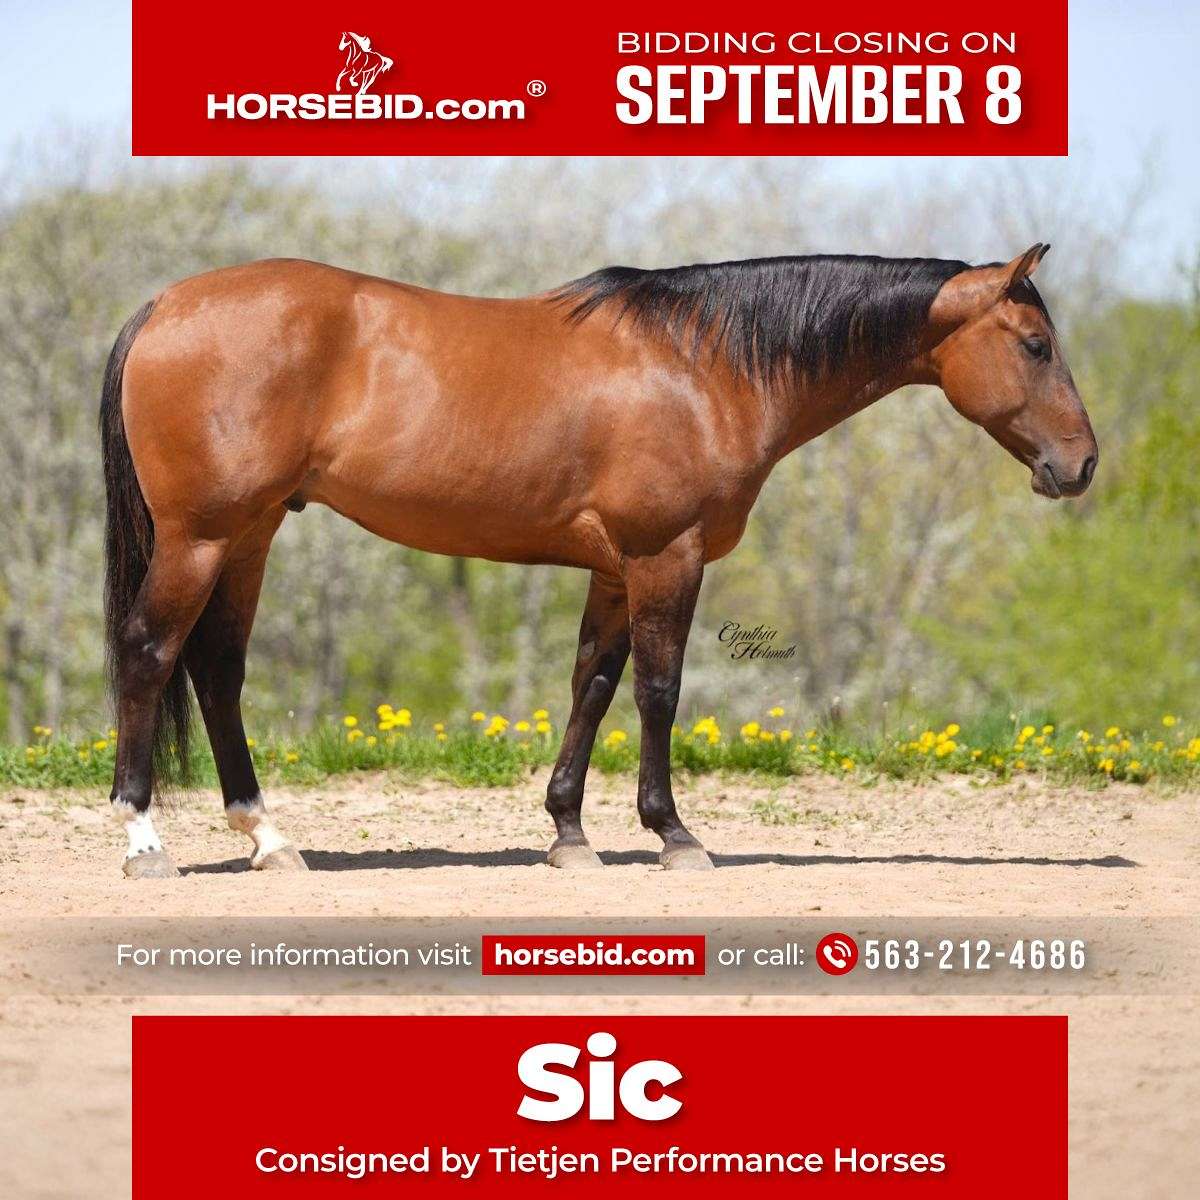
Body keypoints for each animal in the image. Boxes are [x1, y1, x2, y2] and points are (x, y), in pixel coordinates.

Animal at [100, 244, 1097, 878]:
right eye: (1036, 345)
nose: (1081, 465)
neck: (704, 367)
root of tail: (165, 305)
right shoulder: (667, 558)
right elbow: (658, 690)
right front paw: (674, 835)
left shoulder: (616, 570)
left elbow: (592, 682)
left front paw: (569, 834)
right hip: (202, 536)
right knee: (149, 653)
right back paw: (144, 841)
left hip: (251, 535)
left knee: (218, 671)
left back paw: (268, 840)